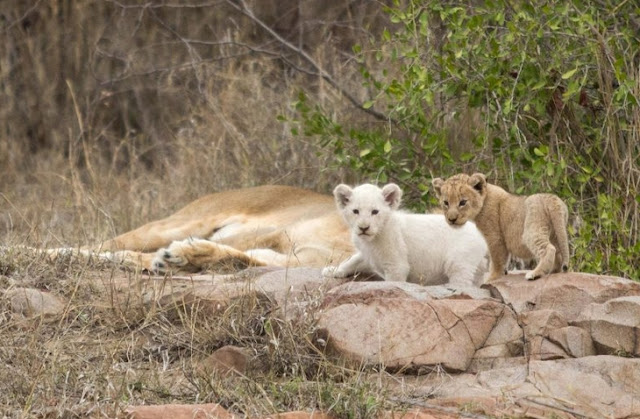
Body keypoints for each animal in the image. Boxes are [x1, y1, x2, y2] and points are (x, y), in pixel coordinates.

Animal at [43, 185, 355, 274]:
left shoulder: (292, 260)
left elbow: (240, 257)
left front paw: (180, 259)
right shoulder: (276, 232)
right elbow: (237, 249)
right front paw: (177, 256)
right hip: (175, 224)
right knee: (98, 246)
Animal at [322, 183, 488, 286]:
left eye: (375, 211)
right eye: (355, 211)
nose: (364, 228)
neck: (372, 239)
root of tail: (479, 233)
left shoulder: (397, 264)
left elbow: (393, 281)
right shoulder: (367, 253)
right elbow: (352, 261)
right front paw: (332, 271)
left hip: (460, 260)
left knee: (462, 281)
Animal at [432, 173, 570, 282]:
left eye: (462, 202)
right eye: (446, 203)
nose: (451, 219)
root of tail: (553, 199)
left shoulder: (494, 237)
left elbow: (497, 259)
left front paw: (492, 278)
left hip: (531, 230)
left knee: (549, 249)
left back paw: (535, 273)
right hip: (557, 232)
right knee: (558, 253)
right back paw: (553, 272)